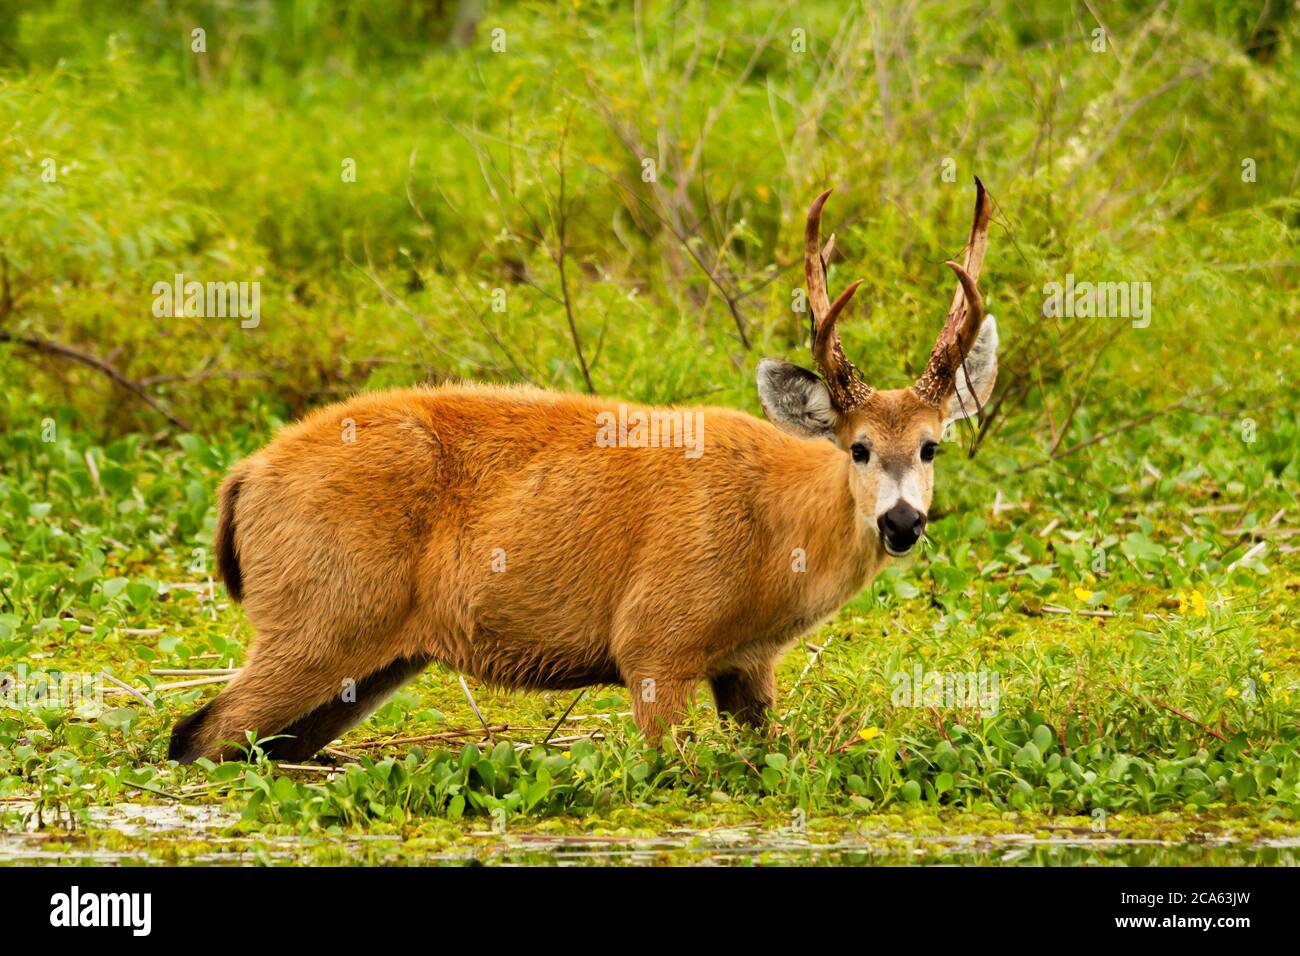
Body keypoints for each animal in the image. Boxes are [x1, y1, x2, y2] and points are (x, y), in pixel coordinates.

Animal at [169, 179, 997, 763]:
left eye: (932, 445)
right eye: (858, 446)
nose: (901, 521)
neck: (776, 536)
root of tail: (243, 477)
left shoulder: (749, 668)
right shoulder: (656, 641)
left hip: (369, 657)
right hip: (318, 618)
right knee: (199, 735)